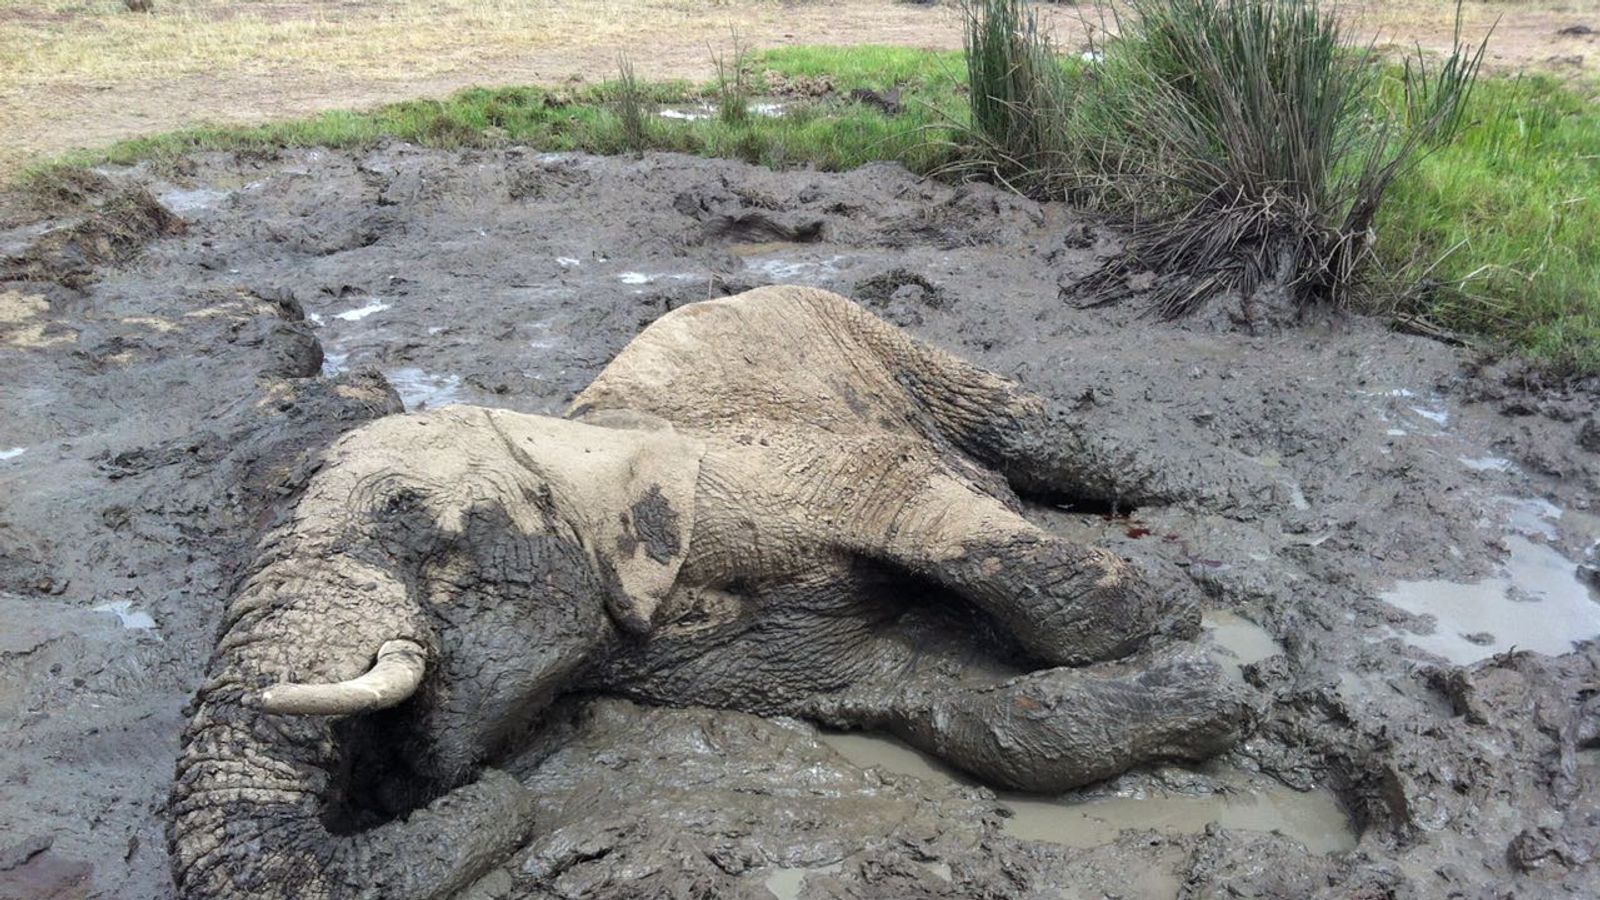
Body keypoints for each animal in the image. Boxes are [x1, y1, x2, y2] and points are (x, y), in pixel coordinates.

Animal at [168, 286, 1254, 899]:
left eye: (402, 515)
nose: (506, 804)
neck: (568, 440)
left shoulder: (786, 477)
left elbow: (945, 521)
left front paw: (1187, 627)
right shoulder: (720, 656)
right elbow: (950, 708)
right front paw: (1207, 698)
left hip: (880, 333)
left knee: (1032, 434)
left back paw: (1166, 494)